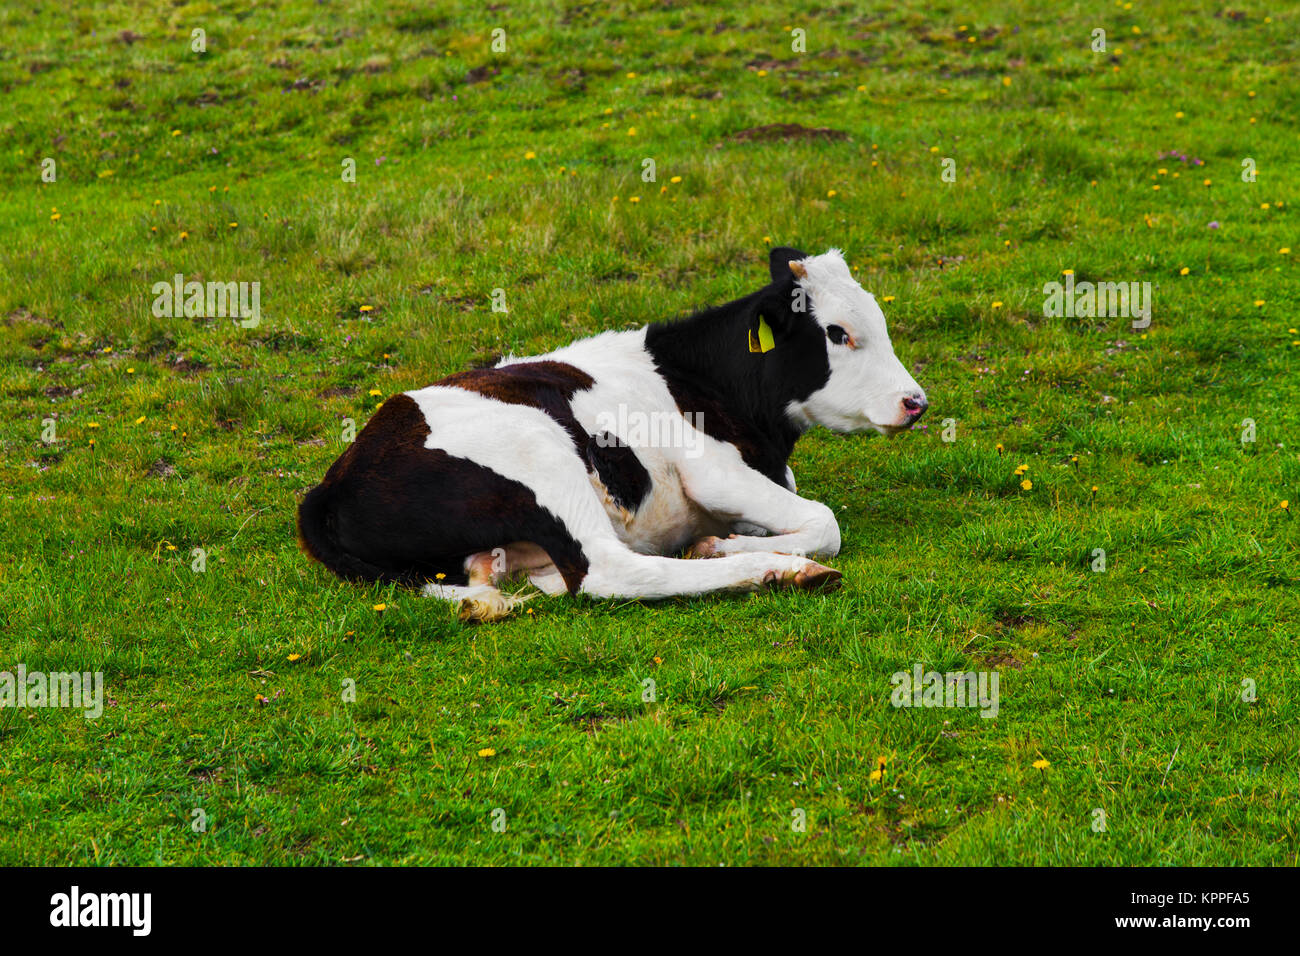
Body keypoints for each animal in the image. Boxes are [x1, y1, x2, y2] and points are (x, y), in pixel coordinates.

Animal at [297, 247, 928, 621]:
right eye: (838, 333)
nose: (916, 402)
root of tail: (331, 481)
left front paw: (730, 539)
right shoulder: (712, 470)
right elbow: (824, 522)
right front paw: (733, 547)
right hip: (542, 454)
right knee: (610, 571)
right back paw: (778, 573)